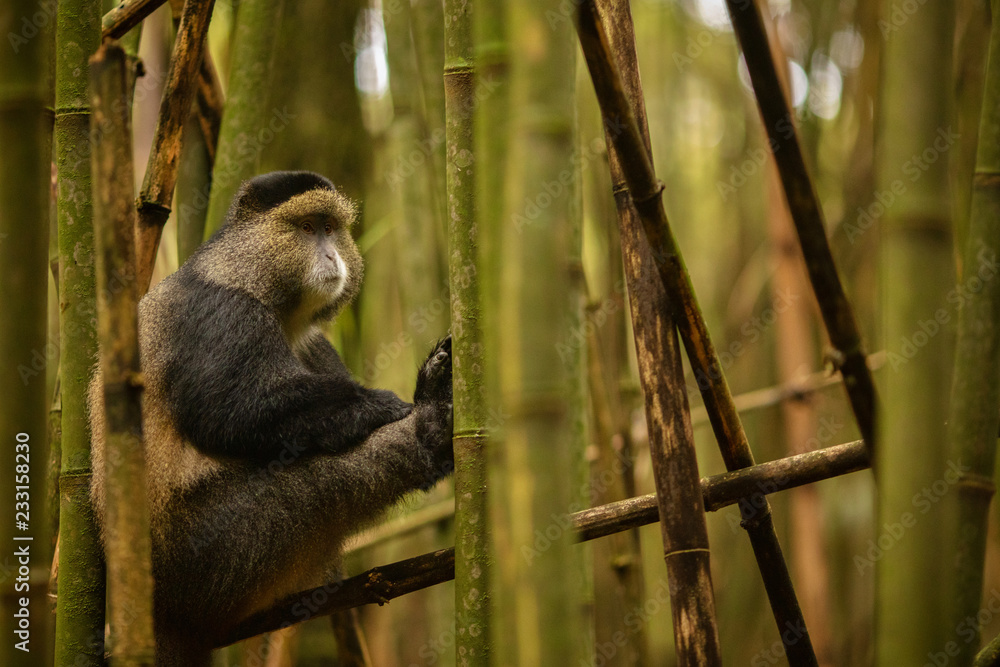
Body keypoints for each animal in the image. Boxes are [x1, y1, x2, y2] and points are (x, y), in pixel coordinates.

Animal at [88, 171, 454, 666]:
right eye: (306, 228)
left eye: (330, 228)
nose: (332, 255)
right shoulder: (221, 315)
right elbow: (231, 414)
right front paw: (382, 407)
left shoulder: (315, 343)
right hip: (206, 553)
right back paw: (428, 429)